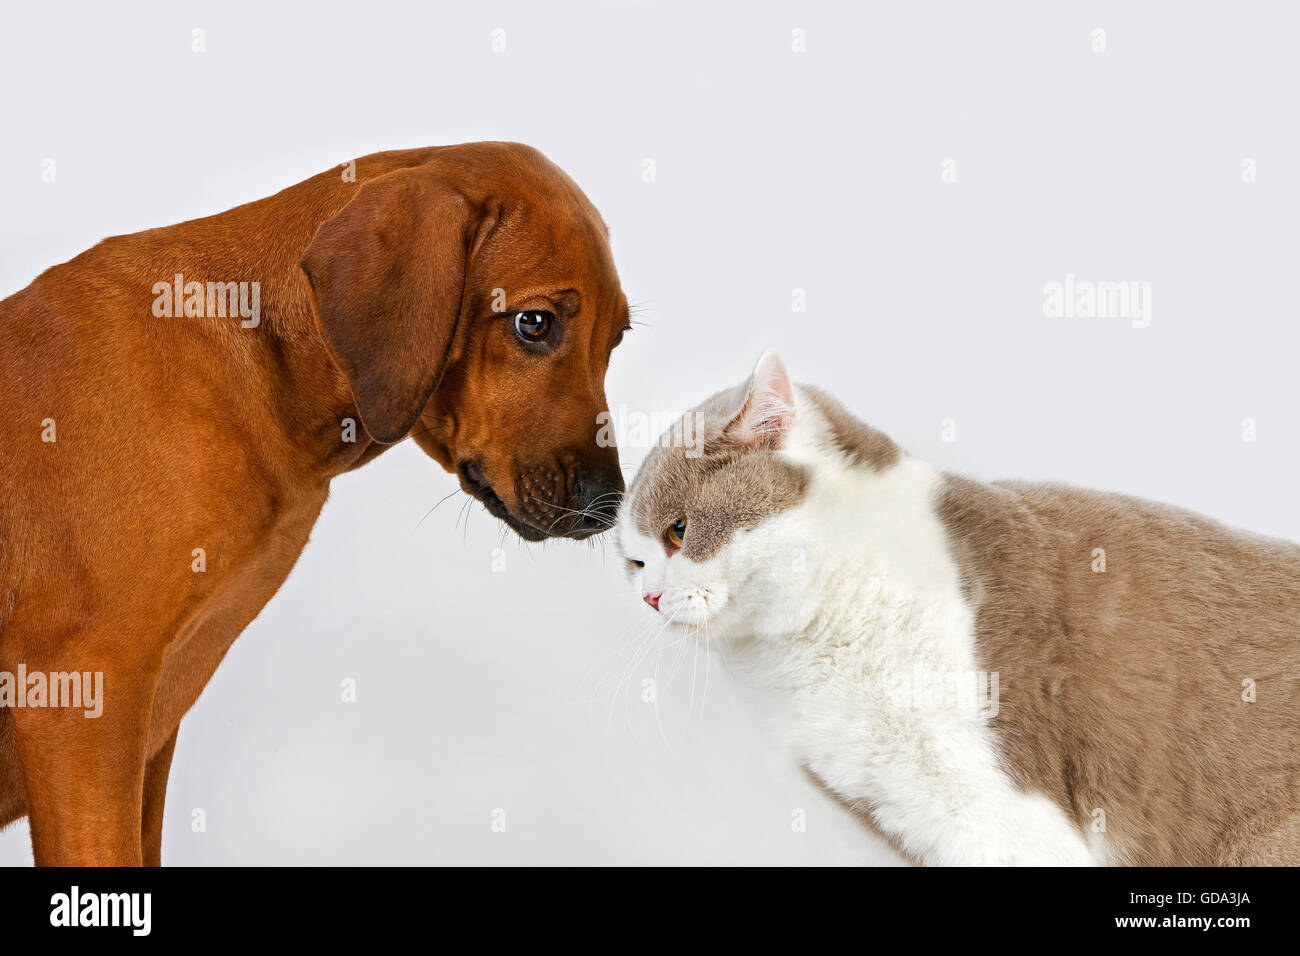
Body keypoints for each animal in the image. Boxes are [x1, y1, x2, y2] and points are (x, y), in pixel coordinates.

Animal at [0, 141, 629, 868]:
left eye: (616, 340)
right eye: (534, 323)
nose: (609, 506)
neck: (260, 358)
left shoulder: (150, 733)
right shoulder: (80, 695)